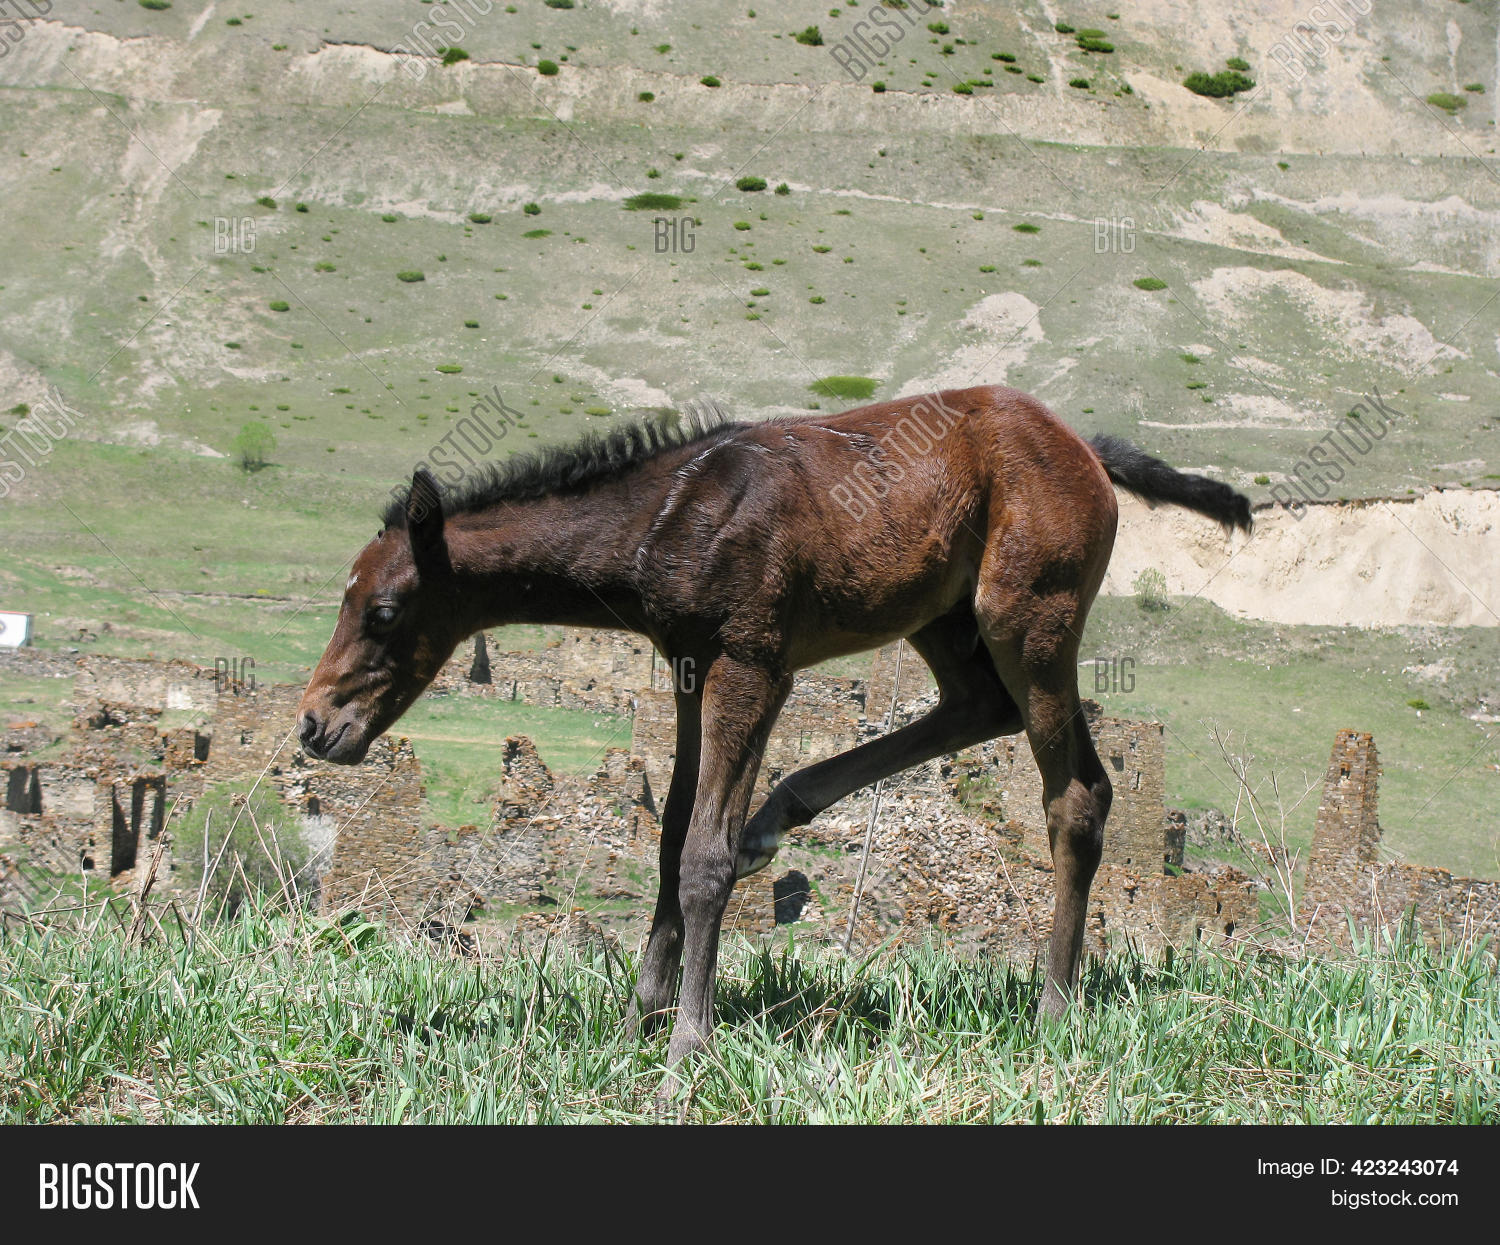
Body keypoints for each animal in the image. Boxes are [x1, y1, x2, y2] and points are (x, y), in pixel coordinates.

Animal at [297, 384, 1251, 1065]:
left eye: (382, 611)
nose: (313, 726)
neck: (668, 515)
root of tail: (1085, 448)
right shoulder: (690, 669)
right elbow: (671, 833)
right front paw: (644, 1007)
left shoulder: (751, 663)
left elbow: (702, 856)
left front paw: (688, 1042)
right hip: (942, 615)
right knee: (978, 705)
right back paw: (779, 811)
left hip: (1030, 616)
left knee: (1077, 792)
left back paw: (1054, 1003)